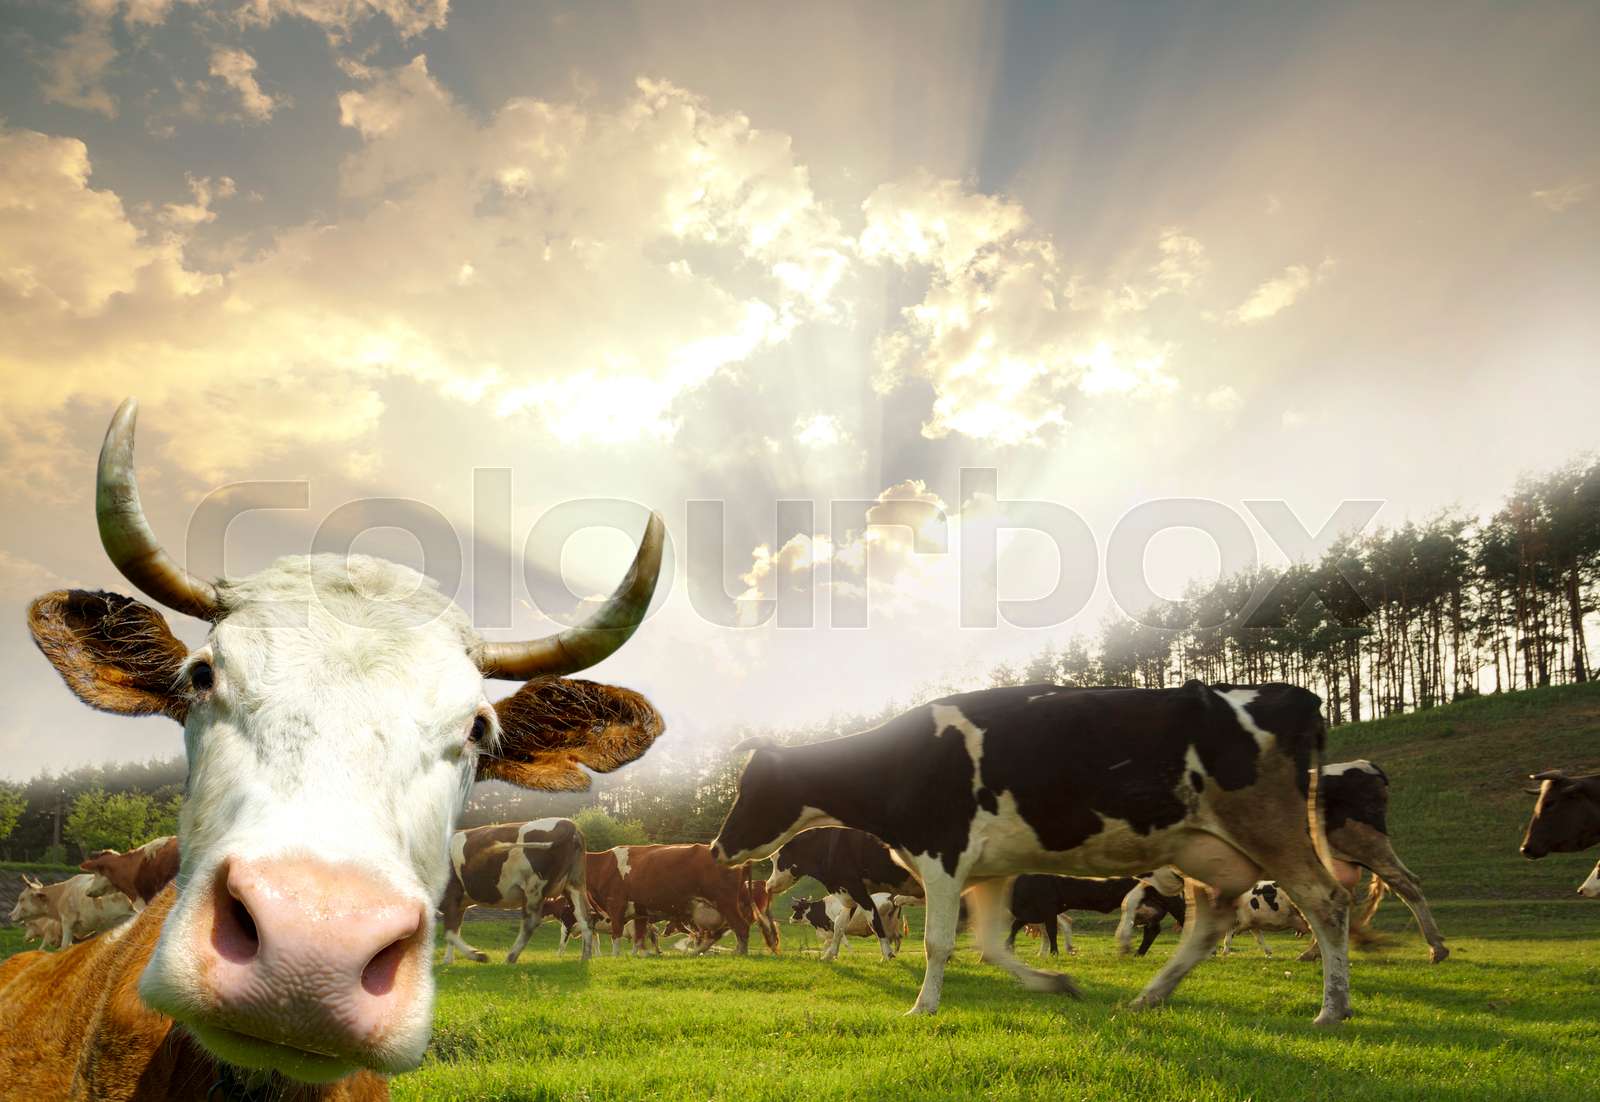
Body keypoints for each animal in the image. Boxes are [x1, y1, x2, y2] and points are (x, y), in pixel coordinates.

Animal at [440, 818, 594, 965]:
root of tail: (567, 823)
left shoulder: (449, 896)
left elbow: (450, 933)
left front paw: (478, 955)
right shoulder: (458, 903)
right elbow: (455, 930)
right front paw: (448, 960)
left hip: (533, 887)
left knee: (530, 923)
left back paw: (510, 958)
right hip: (574, 883)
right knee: (584, 916)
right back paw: (585, 957)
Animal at [586, 843, 761, 956]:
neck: (602, 865)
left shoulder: (616, 904)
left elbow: (616, 935)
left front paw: (616, 957)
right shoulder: (640, 912)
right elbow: (640, 938)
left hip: (726, 902)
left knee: (741, 927)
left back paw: (740, 954)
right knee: (721, 932)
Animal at [764, 826, 923, 961]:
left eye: (775, 859)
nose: (767, 886)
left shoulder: (858, 891)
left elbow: (874, 923)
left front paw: (886, 955)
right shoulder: (846, 895)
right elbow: (839, 927)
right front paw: (828, 956)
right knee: (897, 936)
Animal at [1008, 873, 1185, 957]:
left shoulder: (1048, 908)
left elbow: (1051, 931)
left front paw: (1054, 953)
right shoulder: (1030, 912)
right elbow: (1015, 926)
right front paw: (1008, 946)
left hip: (1170, 902)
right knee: (1152, 930)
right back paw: (1137, 954)